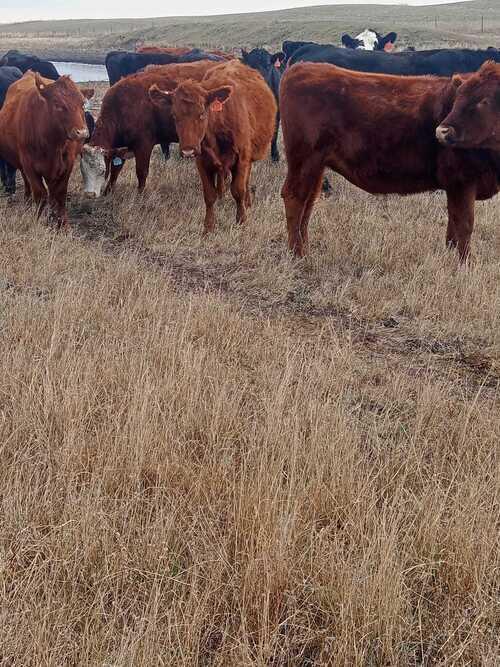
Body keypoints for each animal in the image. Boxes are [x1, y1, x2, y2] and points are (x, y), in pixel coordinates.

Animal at [0, 72, 93, 227]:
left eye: (82, 104)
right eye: (57, 104)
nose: (82, 132)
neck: (53, 144)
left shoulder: (67, 165)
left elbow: (60, 194)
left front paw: (62, 222)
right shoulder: (29, 165)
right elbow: (40, 193)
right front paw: (37, 219)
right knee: (27, 182)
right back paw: (27, 202)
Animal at [80, 60, 219, 197]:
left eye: (102, 171)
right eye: (83, 171)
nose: (89, 194)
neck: (123, 106)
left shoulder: (144, 145)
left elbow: (141, 172)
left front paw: (140, 194)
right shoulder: (120, 148)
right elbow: (115, 170)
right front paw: (108, 191)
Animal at [149, 60, 277, 232]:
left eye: (202, 114)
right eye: (174, 115)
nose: (188, 151)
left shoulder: (242, 158)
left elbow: (238, 190)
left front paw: (241, 220)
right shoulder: (202, 162)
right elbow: (209, 195)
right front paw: (208, 226)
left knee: (246, 179)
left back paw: (247, 201)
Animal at [280, 62, 500, 261]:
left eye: (484, 101)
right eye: (457, 99)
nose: (441, 131)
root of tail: (300, 68)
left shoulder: (457, 185)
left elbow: (453, 226)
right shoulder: (460, 181)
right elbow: (464, 224)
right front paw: (465, 264)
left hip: (316, 166)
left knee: (308, 202)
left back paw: (305, 250)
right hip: (304, 160)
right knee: (295, 197)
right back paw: (296, 254)